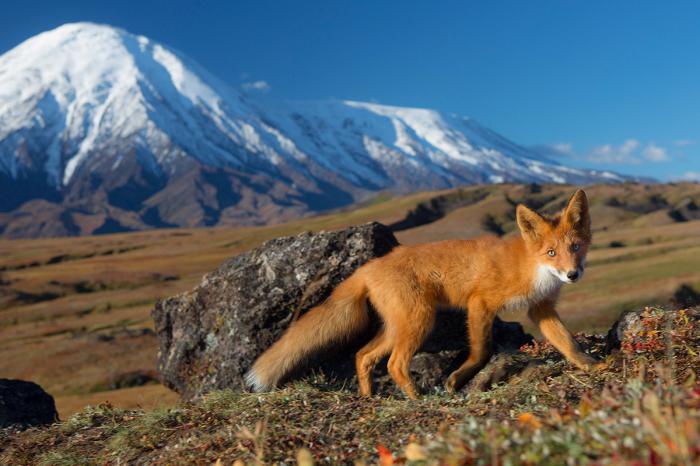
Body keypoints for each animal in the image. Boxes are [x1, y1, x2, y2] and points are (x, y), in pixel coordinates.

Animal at [247, 187, 600, 398]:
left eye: (575, 248)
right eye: (551, 253)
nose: (572, 274)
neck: (530, 267)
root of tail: (369, 267)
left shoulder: (540, 309)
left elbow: (567, 342)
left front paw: (592, 367)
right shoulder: (480, 303)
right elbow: (482, 350)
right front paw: (457, 379)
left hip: (398, 326)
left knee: (364, 356)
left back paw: (368, 398)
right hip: (419, 321)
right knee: (394, 364)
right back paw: (417, 398)